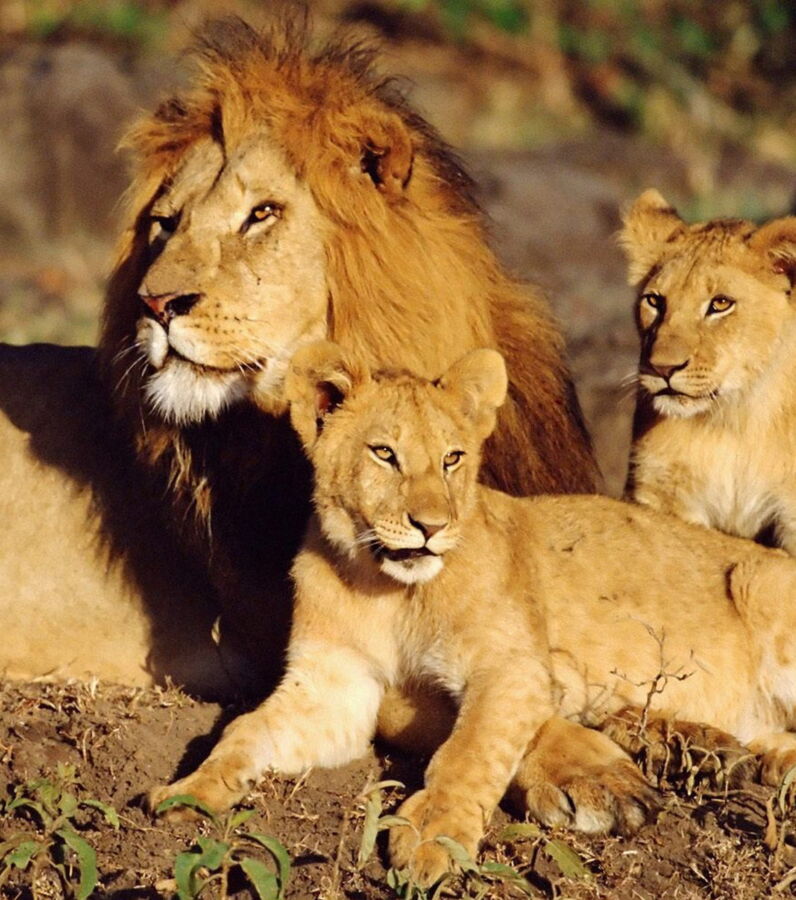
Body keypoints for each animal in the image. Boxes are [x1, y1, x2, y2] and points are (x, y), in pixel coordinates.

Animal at [150, 340, 796, 886]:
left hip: (758, 581)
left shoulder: (513, 667)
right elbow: (244, 730)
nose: (430, 526)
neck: (388, 591)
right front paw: (188, 791)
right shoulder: (335, 689)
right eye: (384, 454)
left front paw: (433, 837)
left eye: (452, 459)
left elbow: (468, 751)